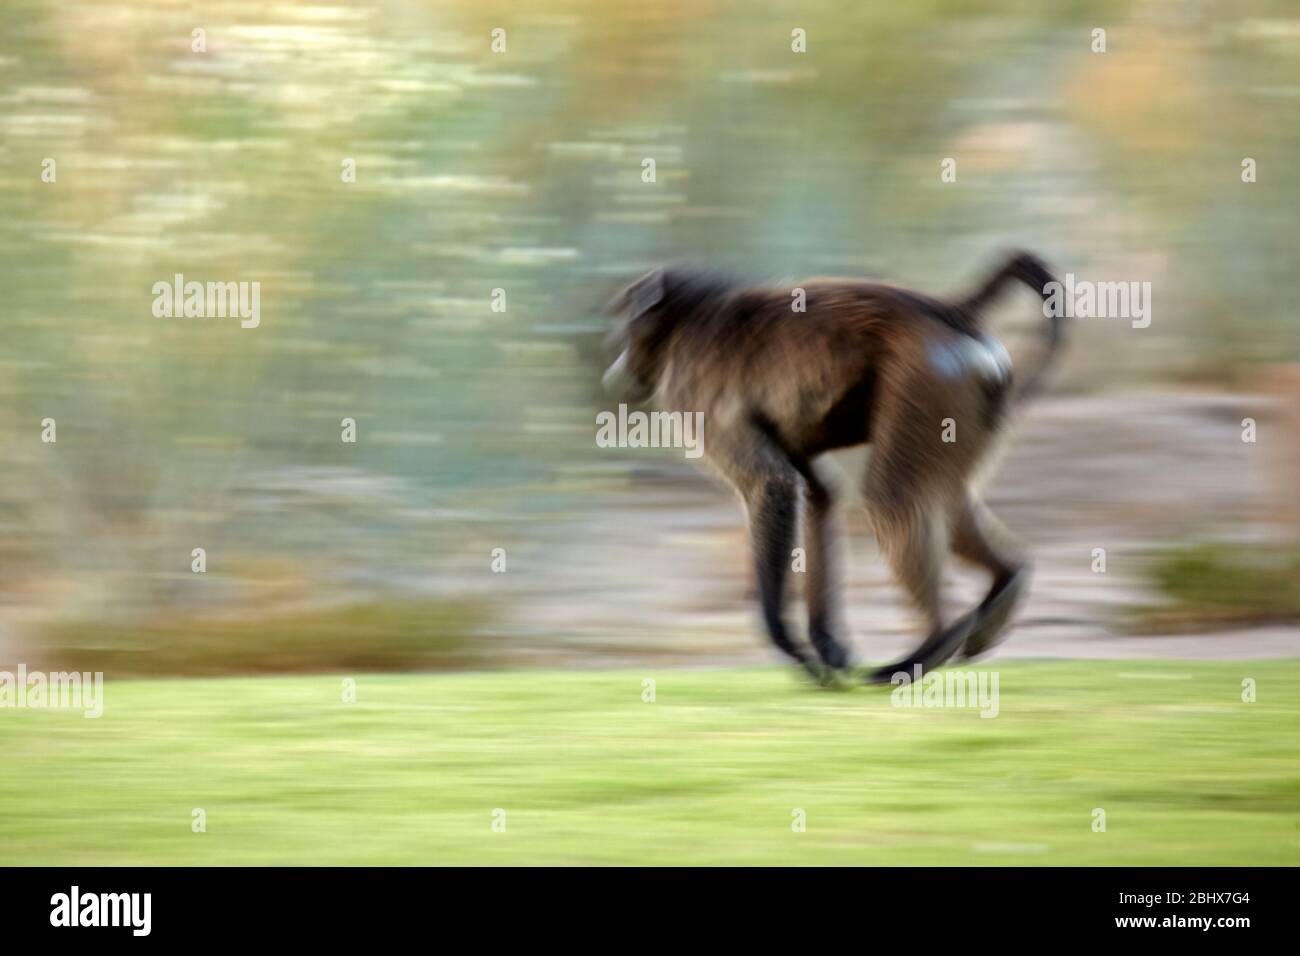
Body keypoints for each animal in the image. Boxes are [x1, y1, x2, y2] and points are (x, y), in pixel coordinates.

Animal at [601, 251, 1066, 684]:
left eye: (628, 324)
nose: (614, 372)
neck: (688, 323)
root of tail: (948, 310)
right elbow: (819, 495)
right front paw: (827, 647)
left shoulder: (692, 396)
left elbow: (772, 484)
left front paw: (788, 643)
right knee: (944, 500)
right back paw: (1005, 585)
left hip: (928, 381)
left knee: (892, 496)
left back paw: (935, 641)